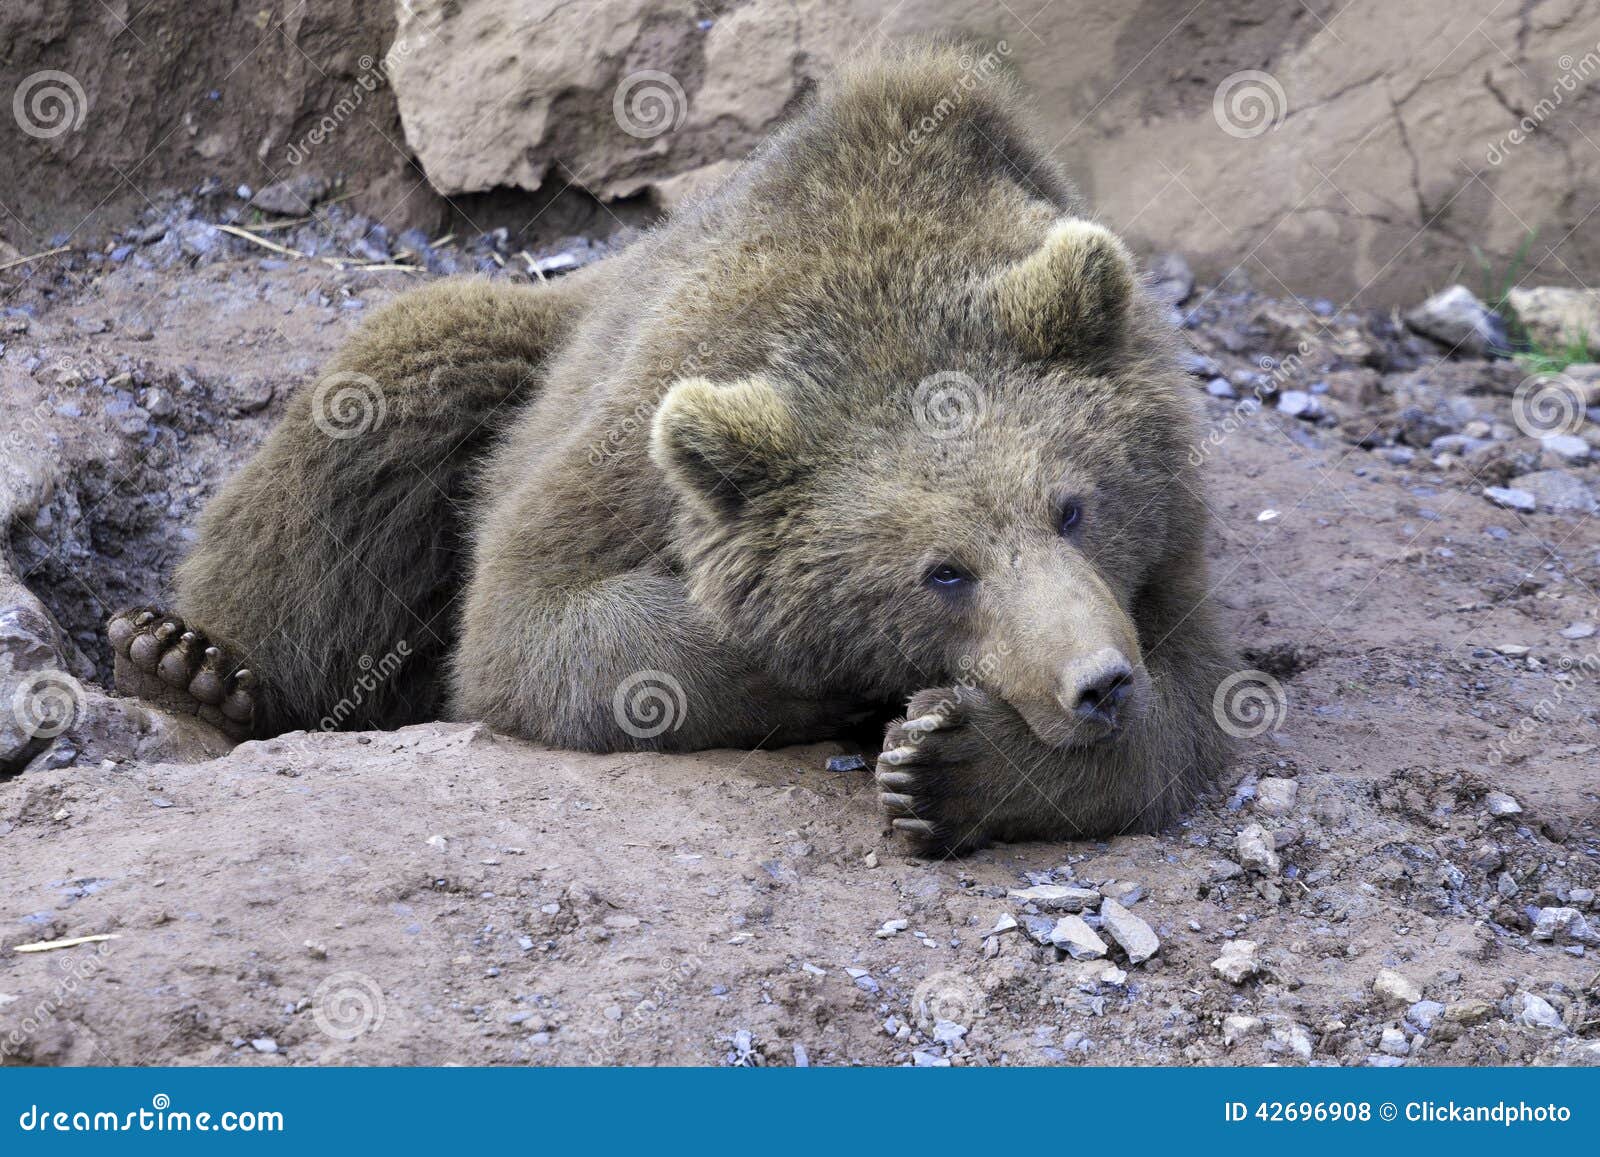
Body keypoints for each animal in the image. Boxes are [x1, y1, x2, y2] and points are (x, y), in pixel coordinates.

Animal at [108, 44, 1235, 854]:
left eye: (1073, 506)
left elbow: (1187, 712)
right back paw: (190, 662)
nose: (1095, 681)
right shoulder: (630, 440)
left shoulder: (1166, 537)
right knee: (394, 390)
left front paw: (951, 762)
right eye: (942, 570)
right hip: (523, 347)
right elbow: (534, 627)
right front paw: (827, 682)